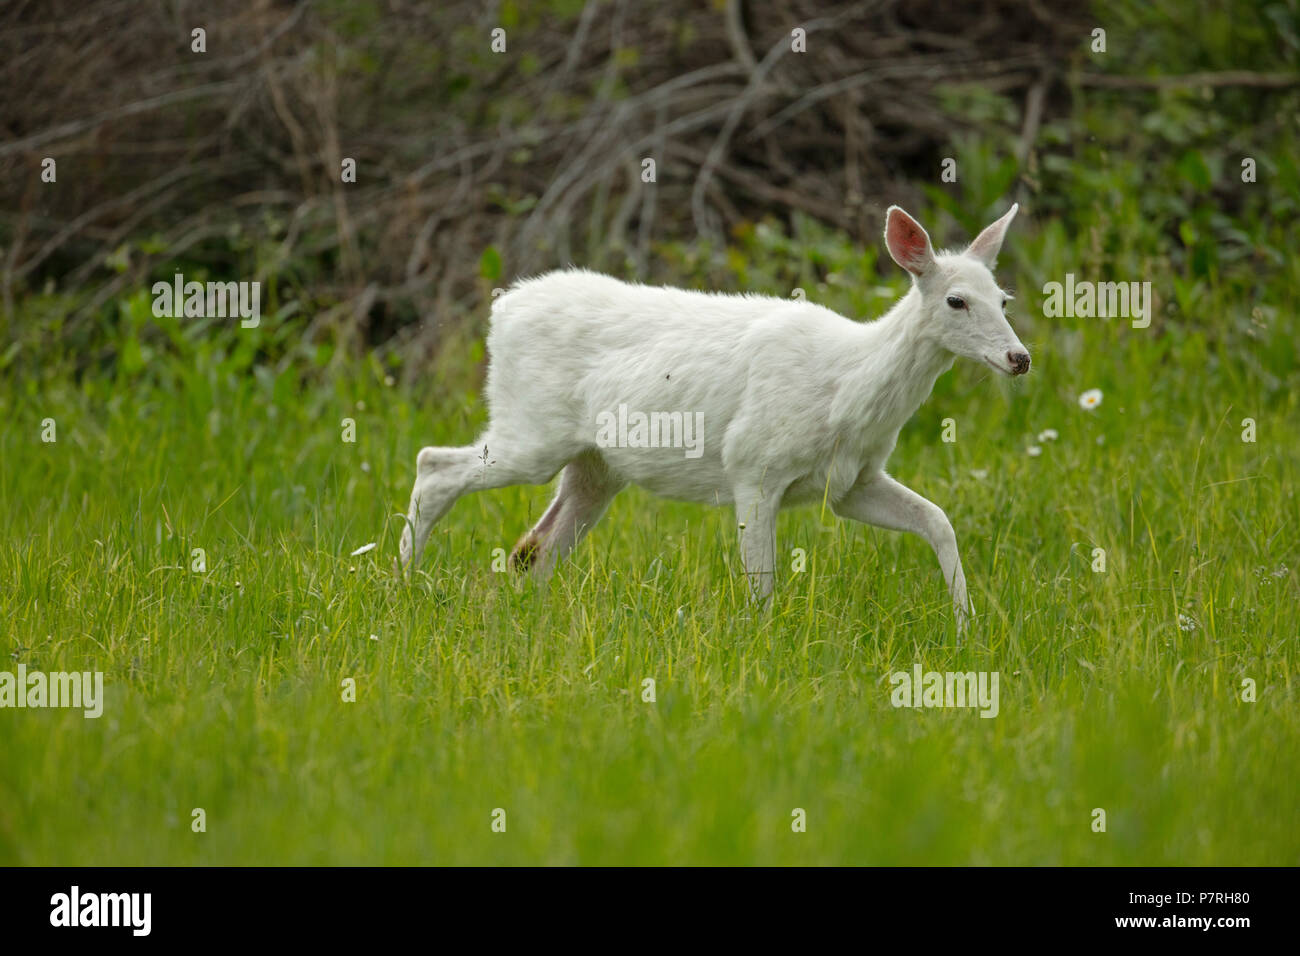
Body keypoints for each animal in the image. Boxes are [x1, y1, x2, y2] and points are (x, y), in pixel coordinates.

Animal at [399, 204, 1029, 632]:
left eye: (1004, 299)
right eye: (956, 301)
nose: (1019, 358)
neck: (846, 389)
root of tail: (502, 310)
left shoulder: (851, 482)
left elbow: (937, 520)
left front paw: (966, 624)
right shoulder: (753, 465)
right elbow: (762, 578)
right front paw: (763, 641)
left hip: (595, 466)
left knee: (536, 546)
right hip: (533, 431)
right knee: (433, 464)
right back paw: (403, 582)